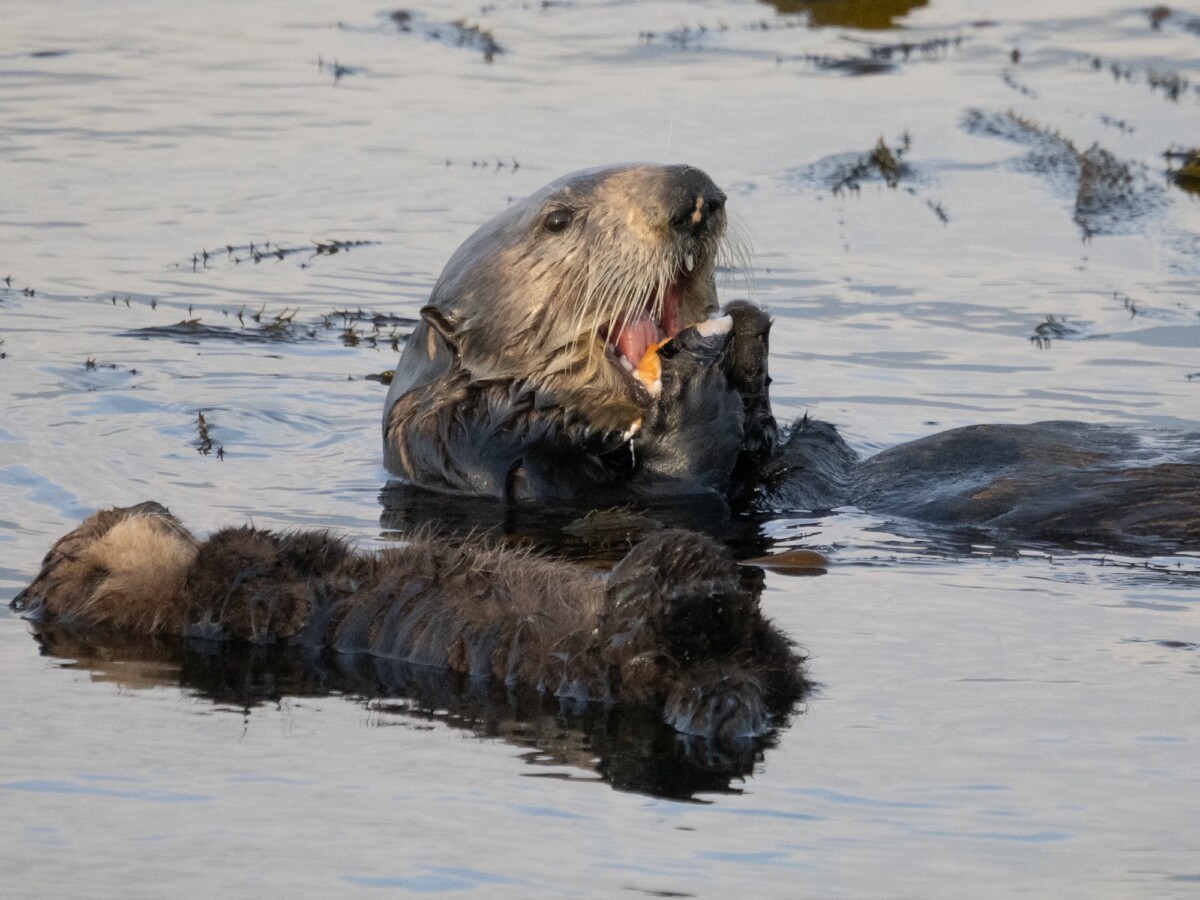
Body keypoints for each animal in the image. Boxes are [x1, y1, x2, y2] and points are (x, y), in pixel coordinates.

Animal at [12, 503, 806, 744]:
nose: (148, 505)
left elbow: (306, 559)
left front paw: (282, 538)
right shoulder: (225, 622)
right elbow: (246, 586)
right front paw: (234, 541)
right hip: (628, 663)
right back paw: (685, 584)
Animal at [383, 164, 1200, 552]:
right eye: (557, 220)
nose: (695, 196)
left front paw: (747, 344)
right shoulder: (511, 465)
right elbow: (679, 492)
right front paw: (697, 389)